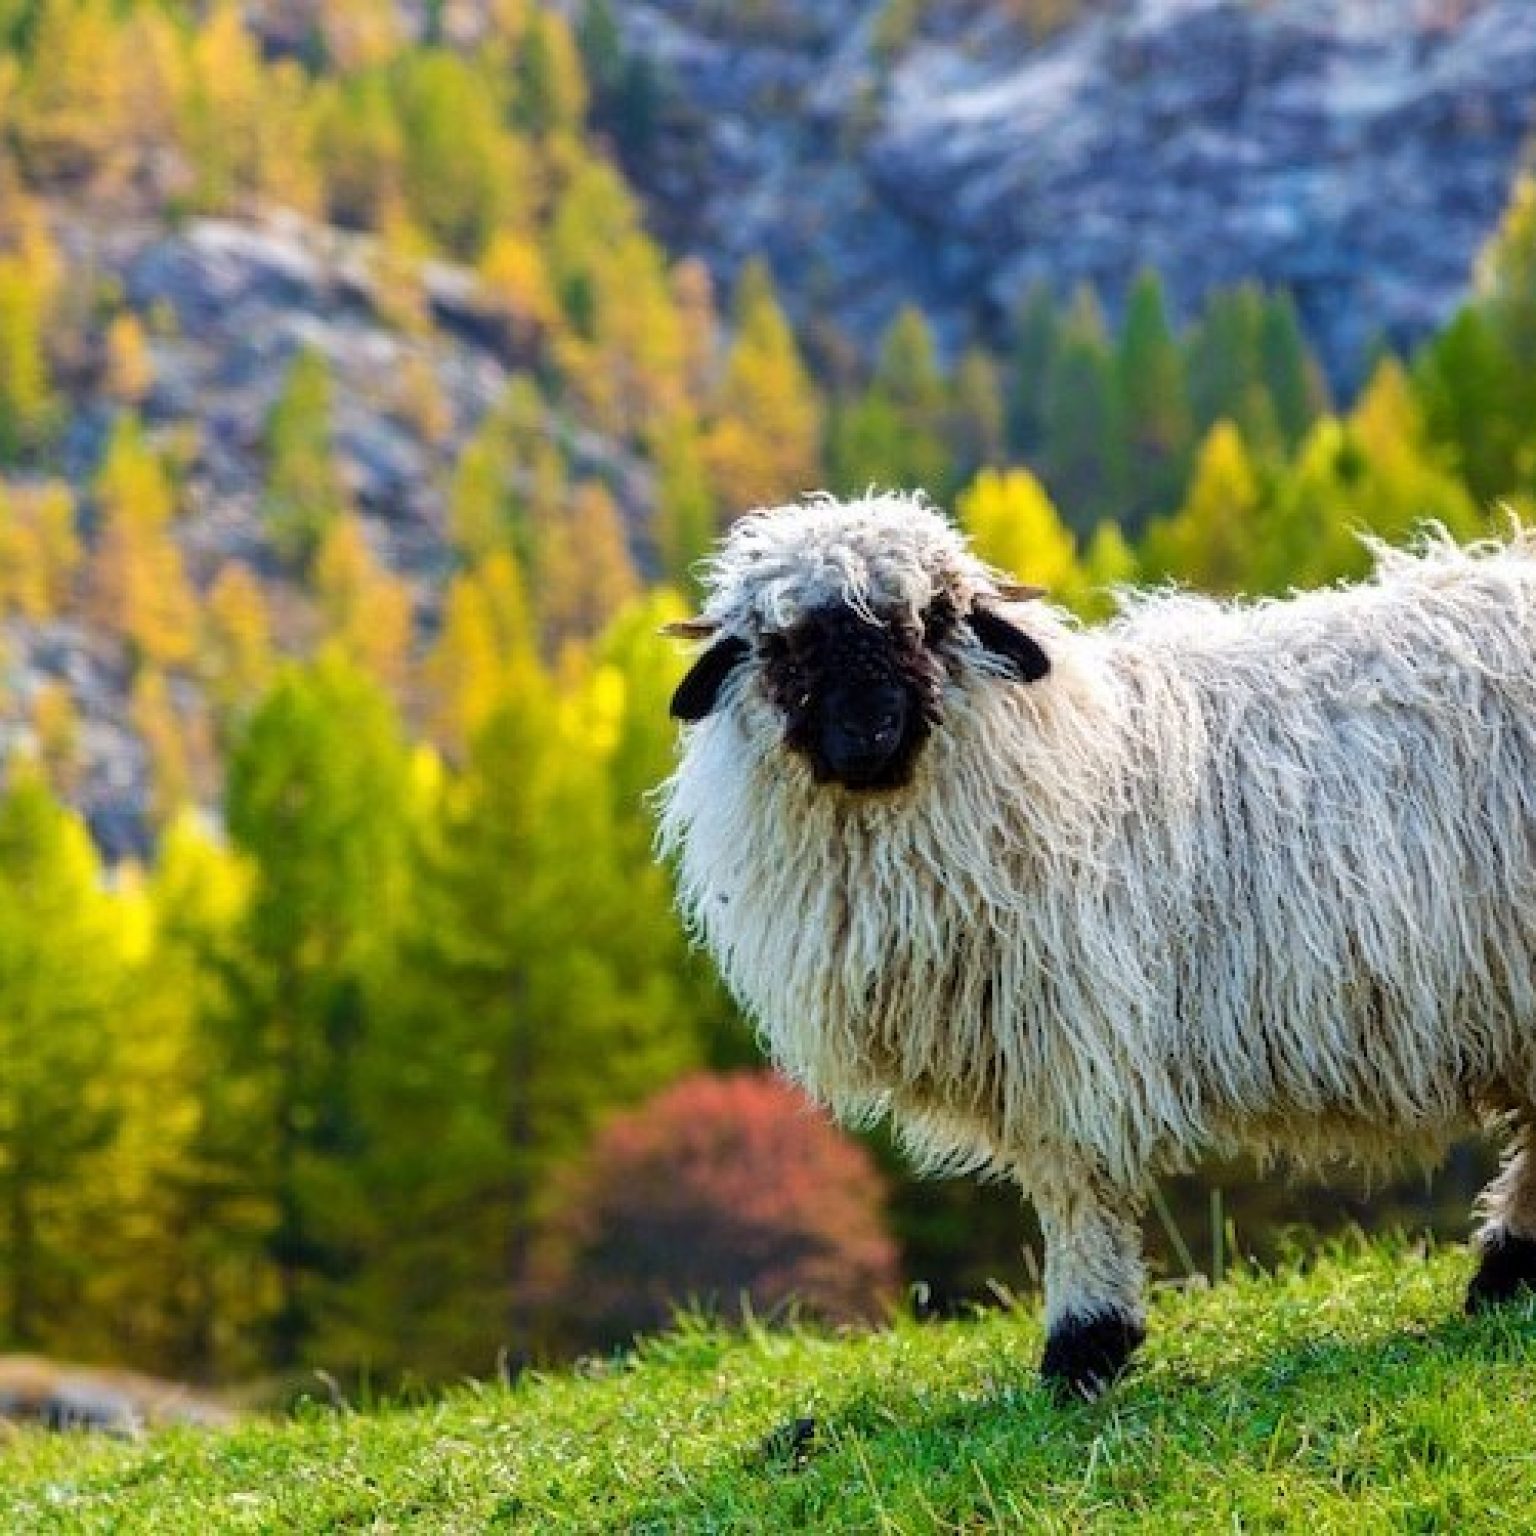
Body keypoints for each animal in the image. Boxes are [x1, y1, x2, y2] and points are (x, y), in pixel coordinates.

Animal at [656, 490, 1536, 1399]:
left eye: (934, 621)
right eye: (783, 644)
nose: (868, 729)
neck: (1053, 756)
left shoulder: (1068, 1040)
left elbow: (1076, 1189)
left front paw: (1083, 1349)